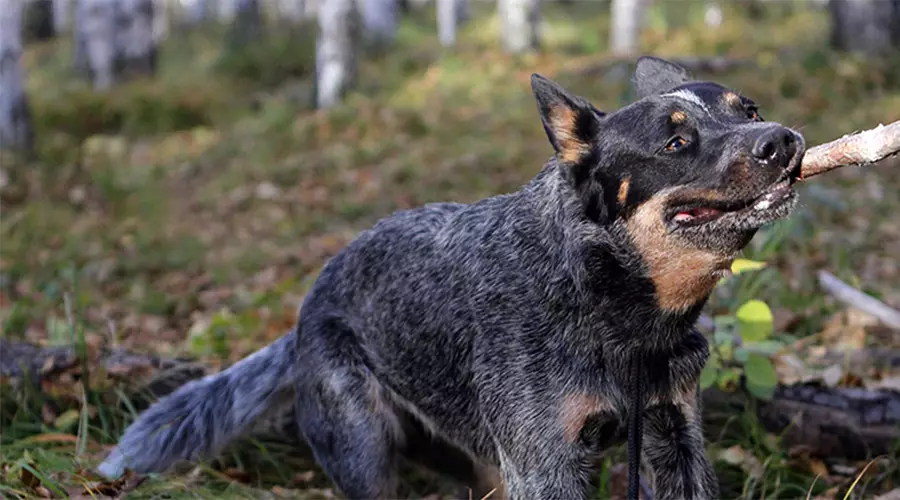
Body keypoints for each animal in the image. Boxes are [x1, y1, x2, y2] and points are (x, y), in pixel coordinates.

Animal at [100, 56, 808, 498]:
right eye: (674, 142)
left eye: (749, 110)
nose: (783, 141)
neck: (619, 312)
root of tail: (308, 307)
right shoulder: (544, 464)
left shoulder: (673, 433)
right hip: (365, 450)